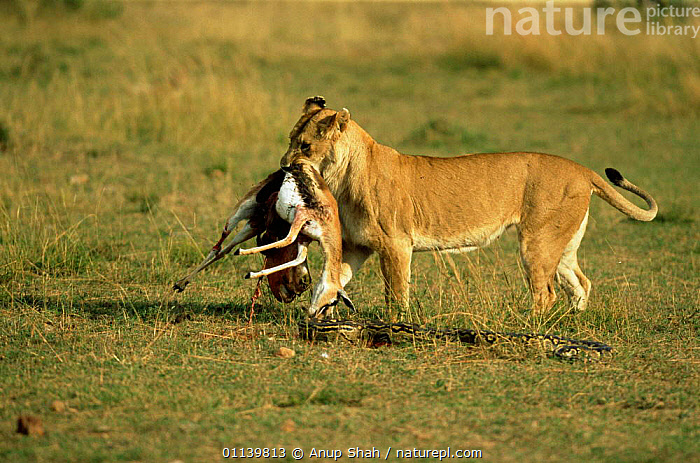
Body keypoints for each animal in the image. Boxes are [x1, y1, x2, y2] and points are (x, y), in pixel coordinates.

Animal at [280, 96, 657, 317]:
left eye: (305, 145)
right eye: (290, 140)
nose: (284, 165)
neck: (343, 174)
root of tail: (583, 170)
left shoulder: (396, 244)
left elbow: (396, 292)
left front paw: (396, 324)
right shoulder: (359, 245)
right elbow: (334, 277)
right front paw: (316, 309)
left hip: (537, 241)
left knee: (545, 293)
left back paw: (530, 327)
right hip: (562, 243)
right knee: (580, 283)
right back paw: (571, 324)